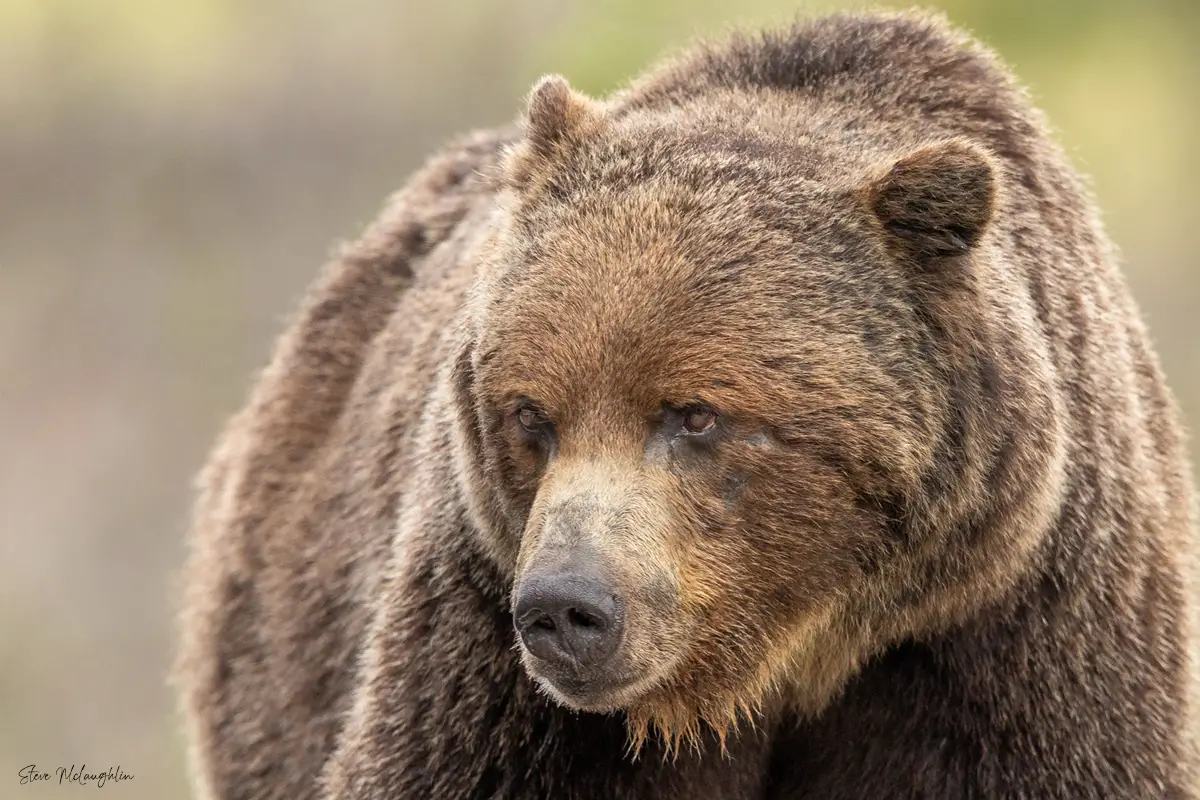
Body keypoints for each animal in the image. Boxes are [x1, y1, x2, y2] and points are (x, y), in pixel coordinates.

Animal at [174, 10, 1199, 800]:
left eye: (695, 414)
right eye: (530, 415)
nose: (565, 608)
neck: (780, 663)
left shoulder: (1005, 635)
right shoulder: (491, 656)